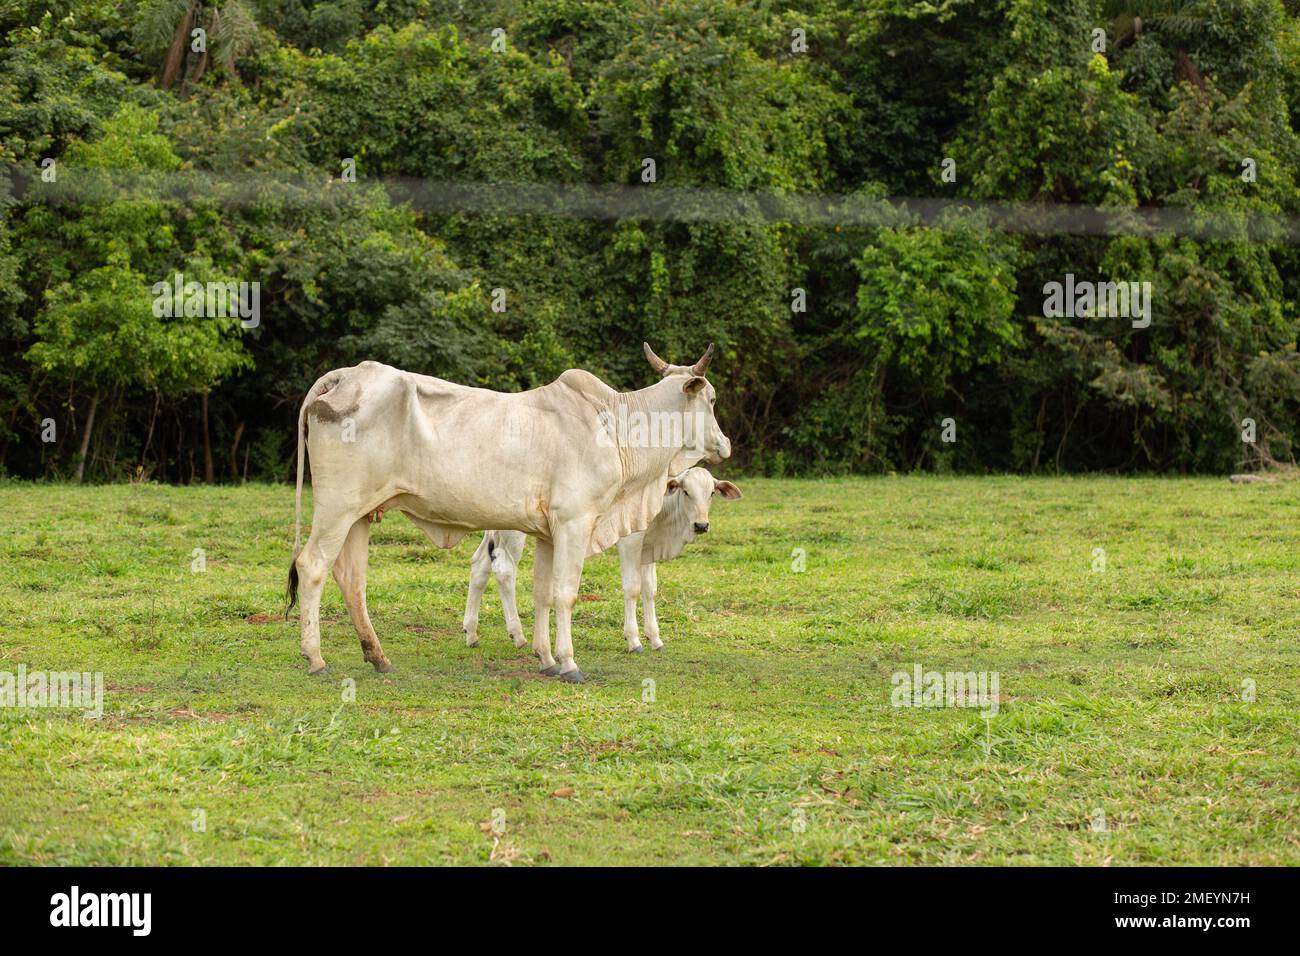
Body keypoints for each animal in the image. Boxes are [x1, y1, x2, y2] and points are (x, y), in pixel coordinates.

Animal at [462, 467, 742, 653]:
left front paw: (655, 638)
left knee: (480, 566)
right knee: (504, 571)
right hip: (513, 533)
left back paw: (471, 632)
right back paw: (517, 634)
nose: (701, 525)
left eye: (711, 493)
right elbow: (632, 589)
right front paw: (634, 640)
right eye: (686, 491)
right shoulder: (631, 542)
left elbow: (650, 590)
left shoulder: (648, 548)